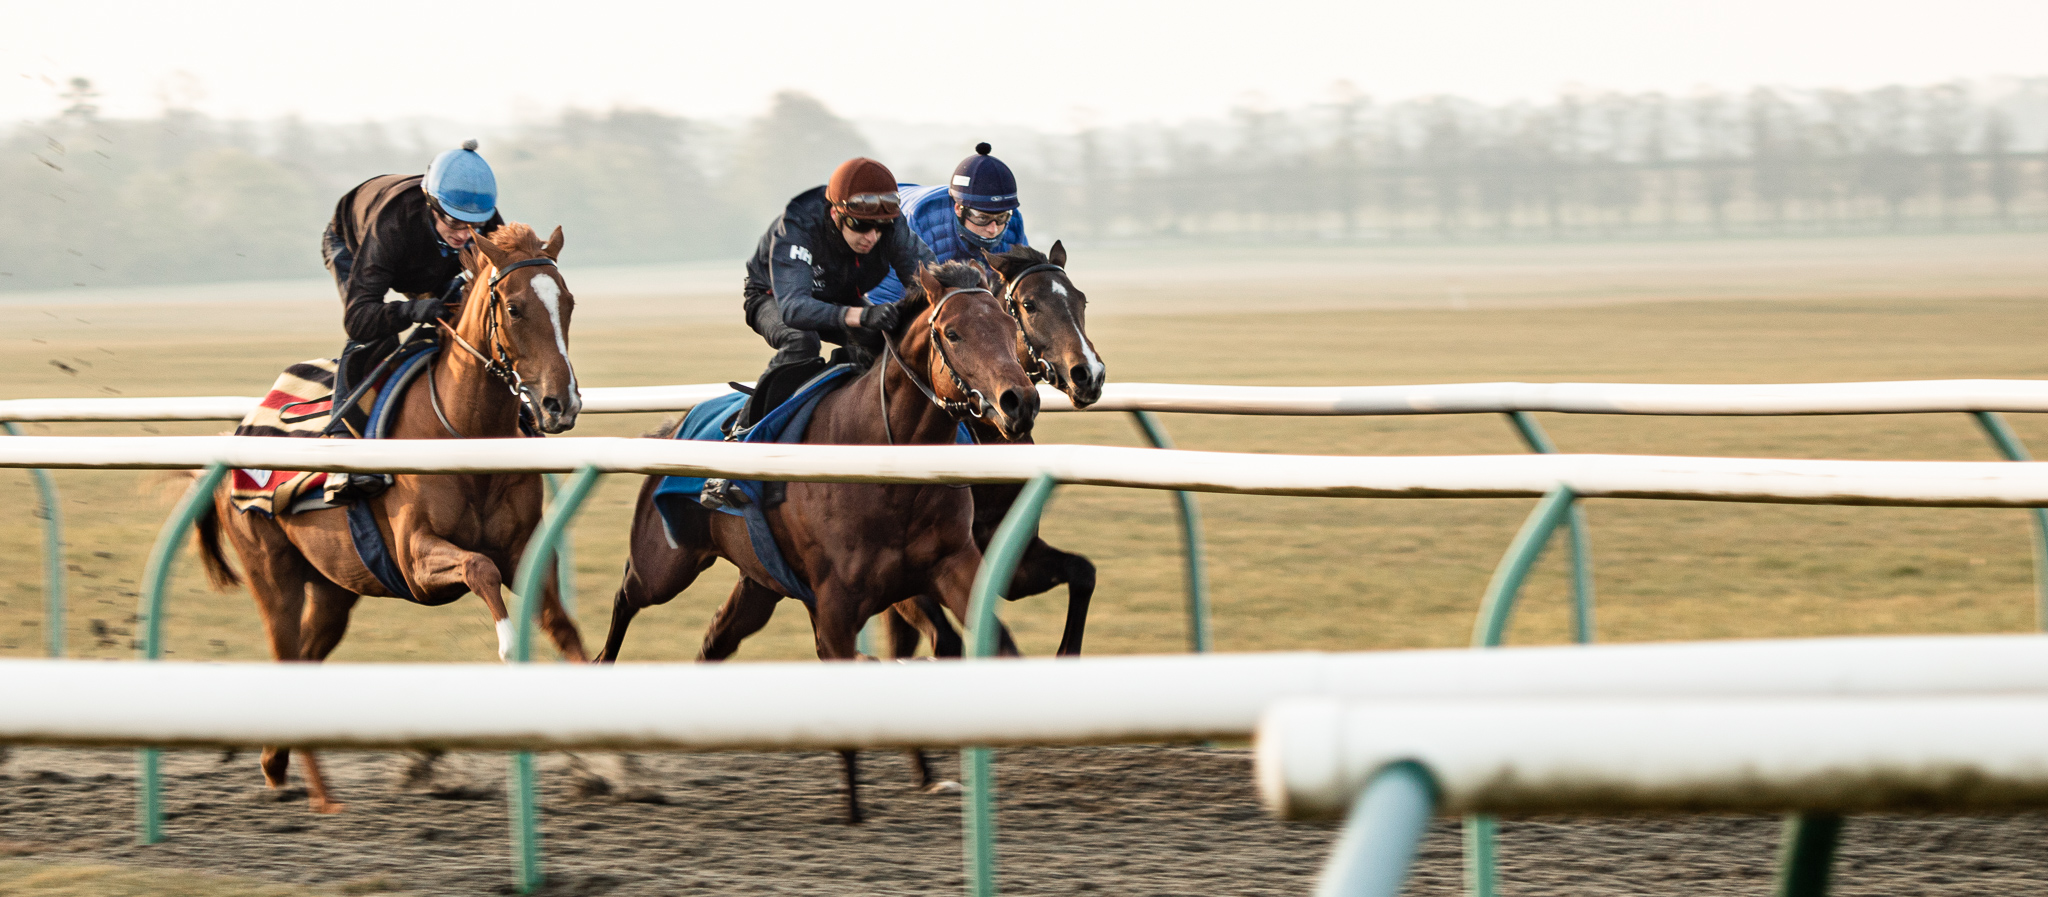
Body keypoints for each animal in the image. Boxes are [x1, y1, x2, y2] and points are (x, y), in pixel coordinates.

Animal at [192, 223, 587, 813]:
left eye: (567, 302)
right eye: (515, 308)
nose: (561, 404)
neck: (464, 433)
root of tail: (237, 432)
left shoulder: (521, 550)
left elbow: (563, 626)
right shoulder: (414, 559)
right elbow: (479, 569)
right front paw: (506, 645)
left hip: (333, 590)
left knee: (305, 661)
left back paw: (277, 763)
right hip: (272, 574)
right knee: (285, 657)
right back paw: (321, 797)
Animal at [597, 260, 1040, 822]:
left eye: (1009, 325)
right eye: (953, 333)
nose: (1019, 401)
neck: (885, 458)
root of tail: (673, 427)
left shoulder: (948, 566)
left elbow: (994, 644)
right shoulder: (836, 600)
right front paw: (853, 807)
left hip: (760, 585)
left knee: (716, 641)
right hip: (666, 565)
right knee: (627, 597)